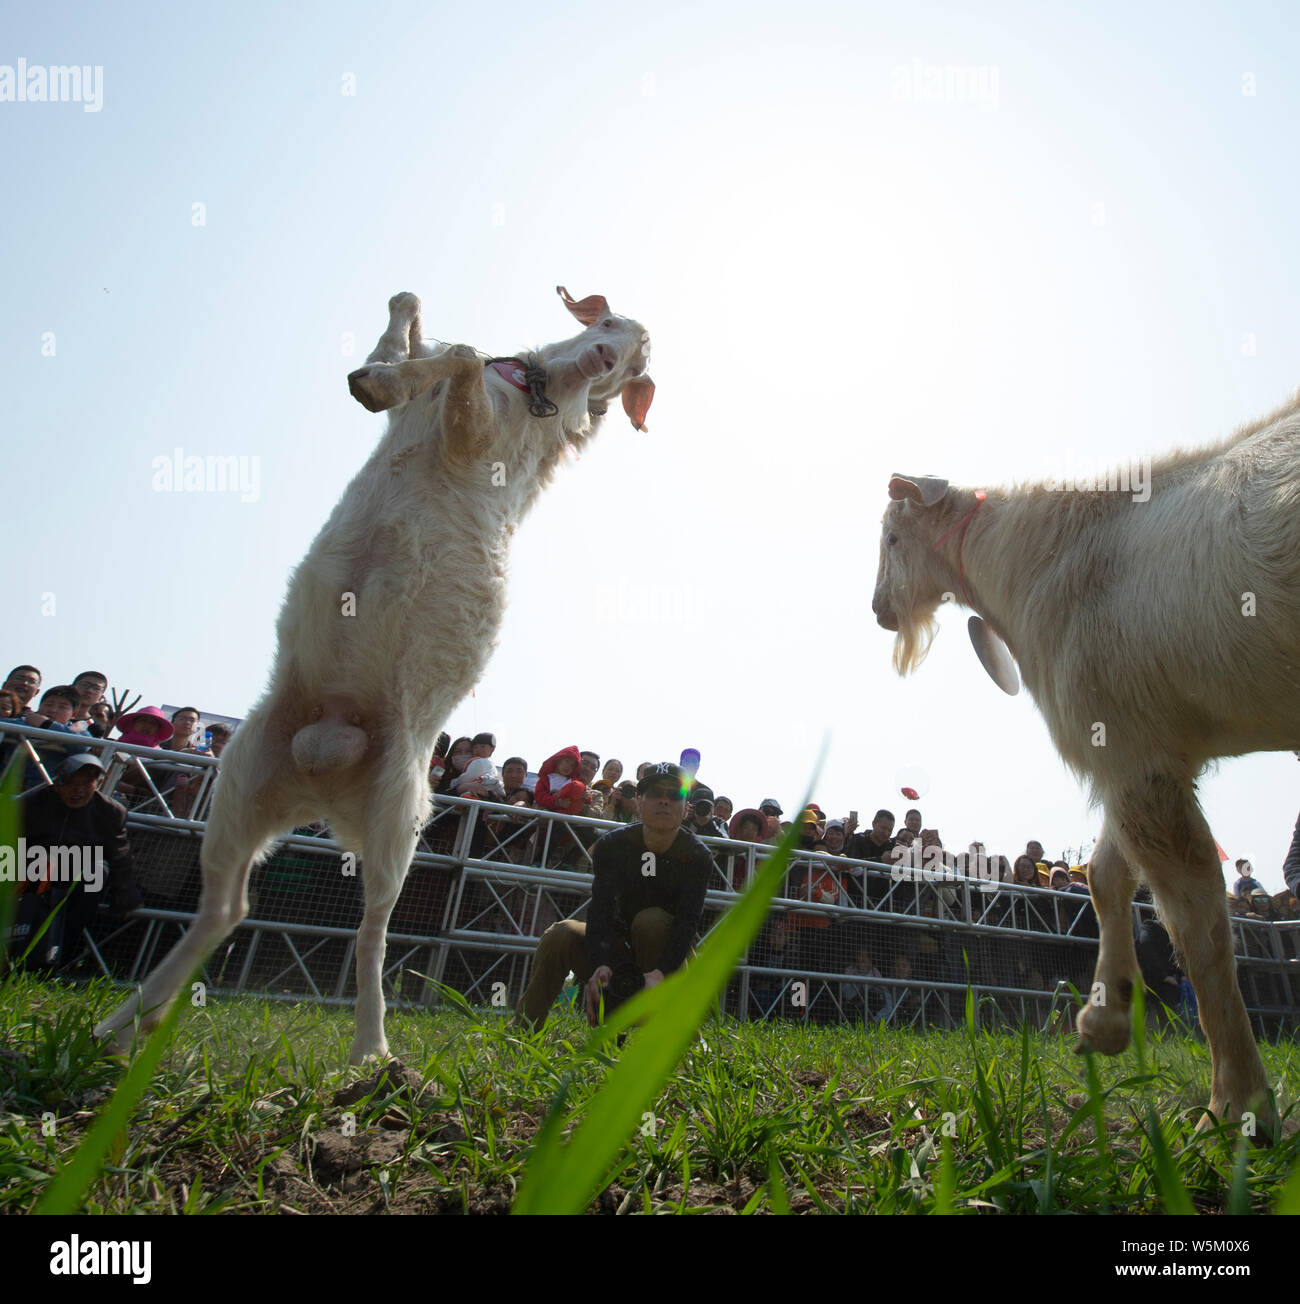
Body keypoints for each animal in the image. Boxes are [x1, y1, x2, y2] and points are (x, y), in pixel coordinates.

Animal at [95, 286, 654, 1063]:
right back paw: (122, 1027)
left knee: (371, 926)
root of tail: (324, 774)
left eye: (638, 362)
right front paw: (377, 376)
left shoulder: (482, 443)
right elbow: (417, 319)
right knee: (227, 907)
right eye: (608, 323)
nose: (603, 359)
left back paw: (371, 1049)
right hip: (242, 775)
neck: (534, 391)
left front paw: (380, 382)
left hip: (399, 810)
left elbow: (460, 357)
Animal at [871, 391, 1300, 1135]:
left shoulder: (1132, 755)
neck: (1040, 562)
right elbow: (1104, 876)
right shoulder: (1136, 749)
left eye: (892, 540)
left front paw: (1238, 1109)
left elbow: (1195, 918)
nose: (877, 611)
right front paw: (1104, 1022)